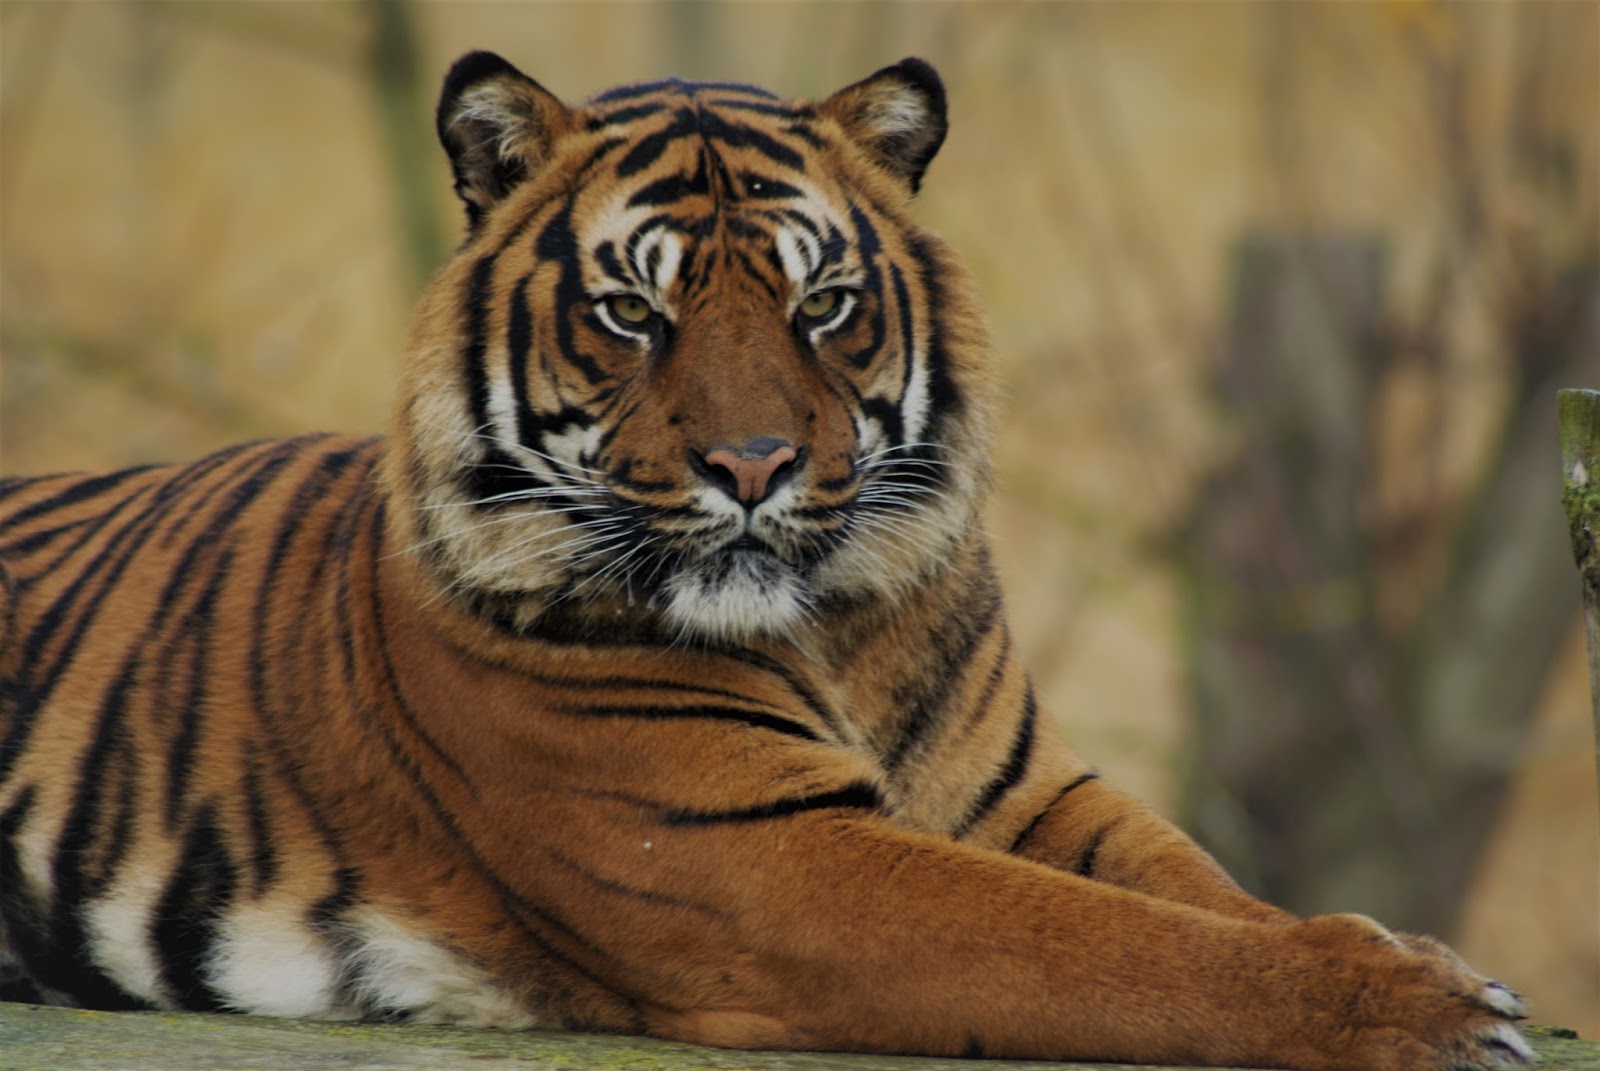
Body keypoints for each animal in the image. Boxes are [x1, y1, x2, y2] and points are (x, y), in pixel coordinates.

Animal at [0, 51, 1533, 1071]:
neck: (835, 626)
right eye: (633, 312)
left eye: (823, 305)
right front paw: (1420, 1009)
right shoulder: (758, 857)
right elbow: (1109, 944)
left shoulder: (1030, 791)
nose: (752, 467)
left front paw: (1417, 958)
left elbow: (1202, 894)